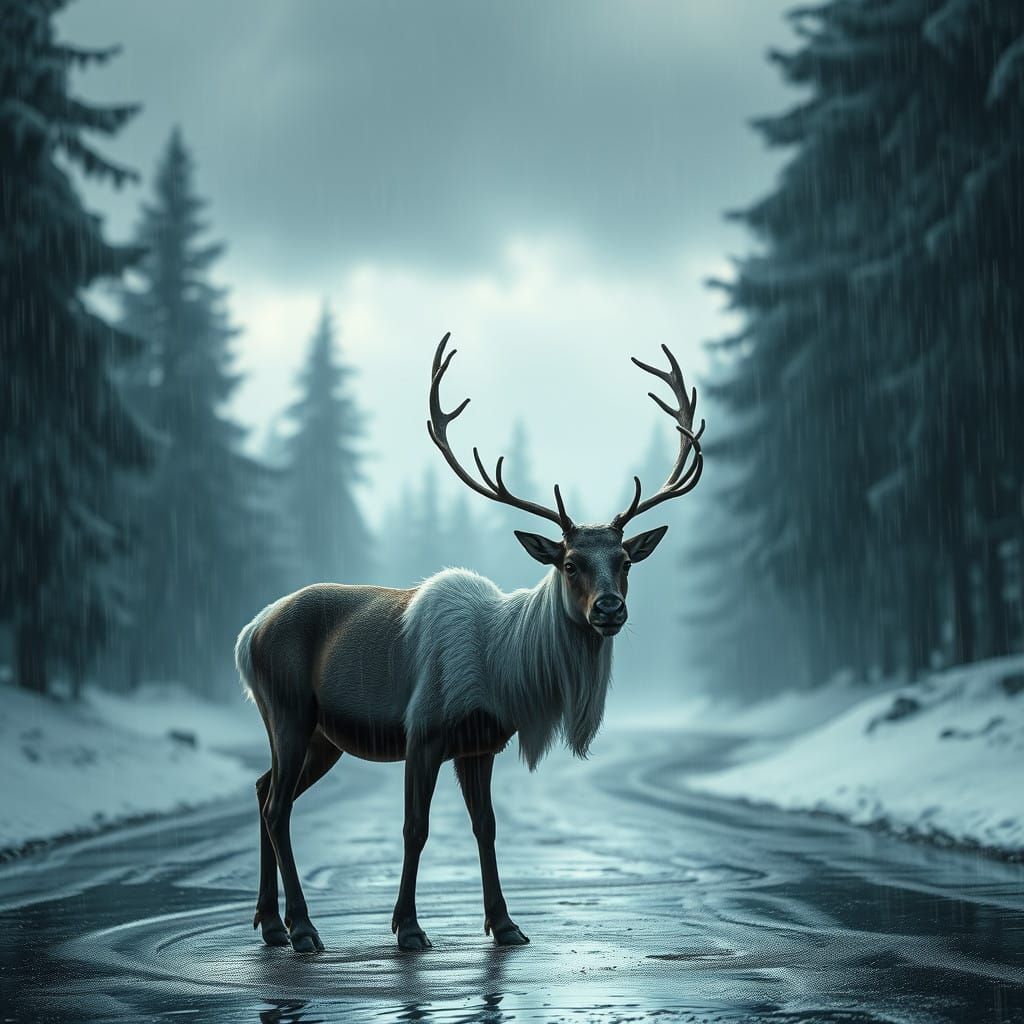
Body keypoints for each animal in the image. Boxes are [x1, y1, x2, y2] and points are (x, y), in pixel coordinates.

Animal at [235, 334, 704, 954]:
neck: (506, 669)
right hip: (288, 712)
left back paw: (271, 924)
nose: (609, 609)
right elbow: (415, 827)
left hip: (320, 737)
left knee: (263, 789)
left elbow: (487, 827)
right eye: (570, 563)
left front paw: (505, 925)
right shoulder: (424, 730)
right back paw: (304, 928)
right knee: (278, 806)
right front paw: (409, 928)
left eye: (625, 561)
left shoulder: (479, 744)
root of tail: (247, 635)